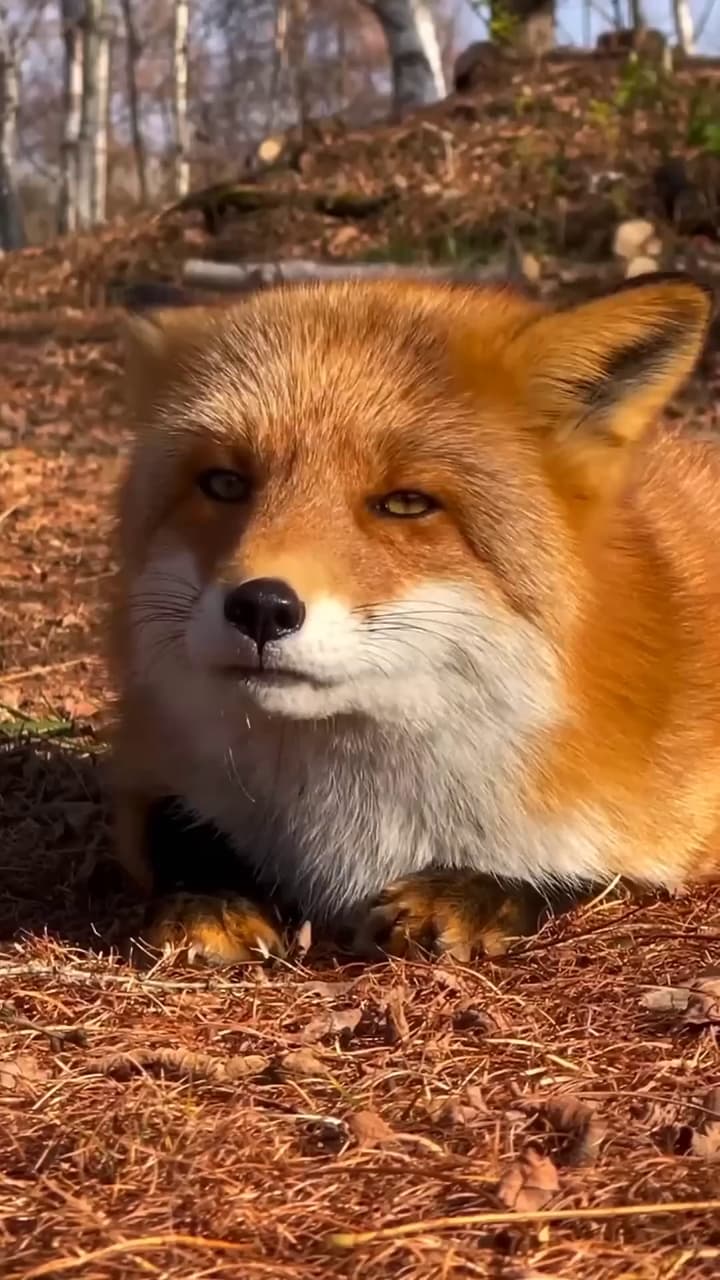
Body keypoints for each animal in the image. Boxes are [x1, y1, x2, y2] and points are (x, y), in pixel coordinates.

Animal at [108, 271, 720, 966]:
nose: (261, 606)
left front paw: (473, 888)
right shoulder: (147, 759)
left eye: (405, 503)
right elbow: (181, 831)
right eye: (225, 483)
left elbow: (594, 865)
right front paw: (209, 898)